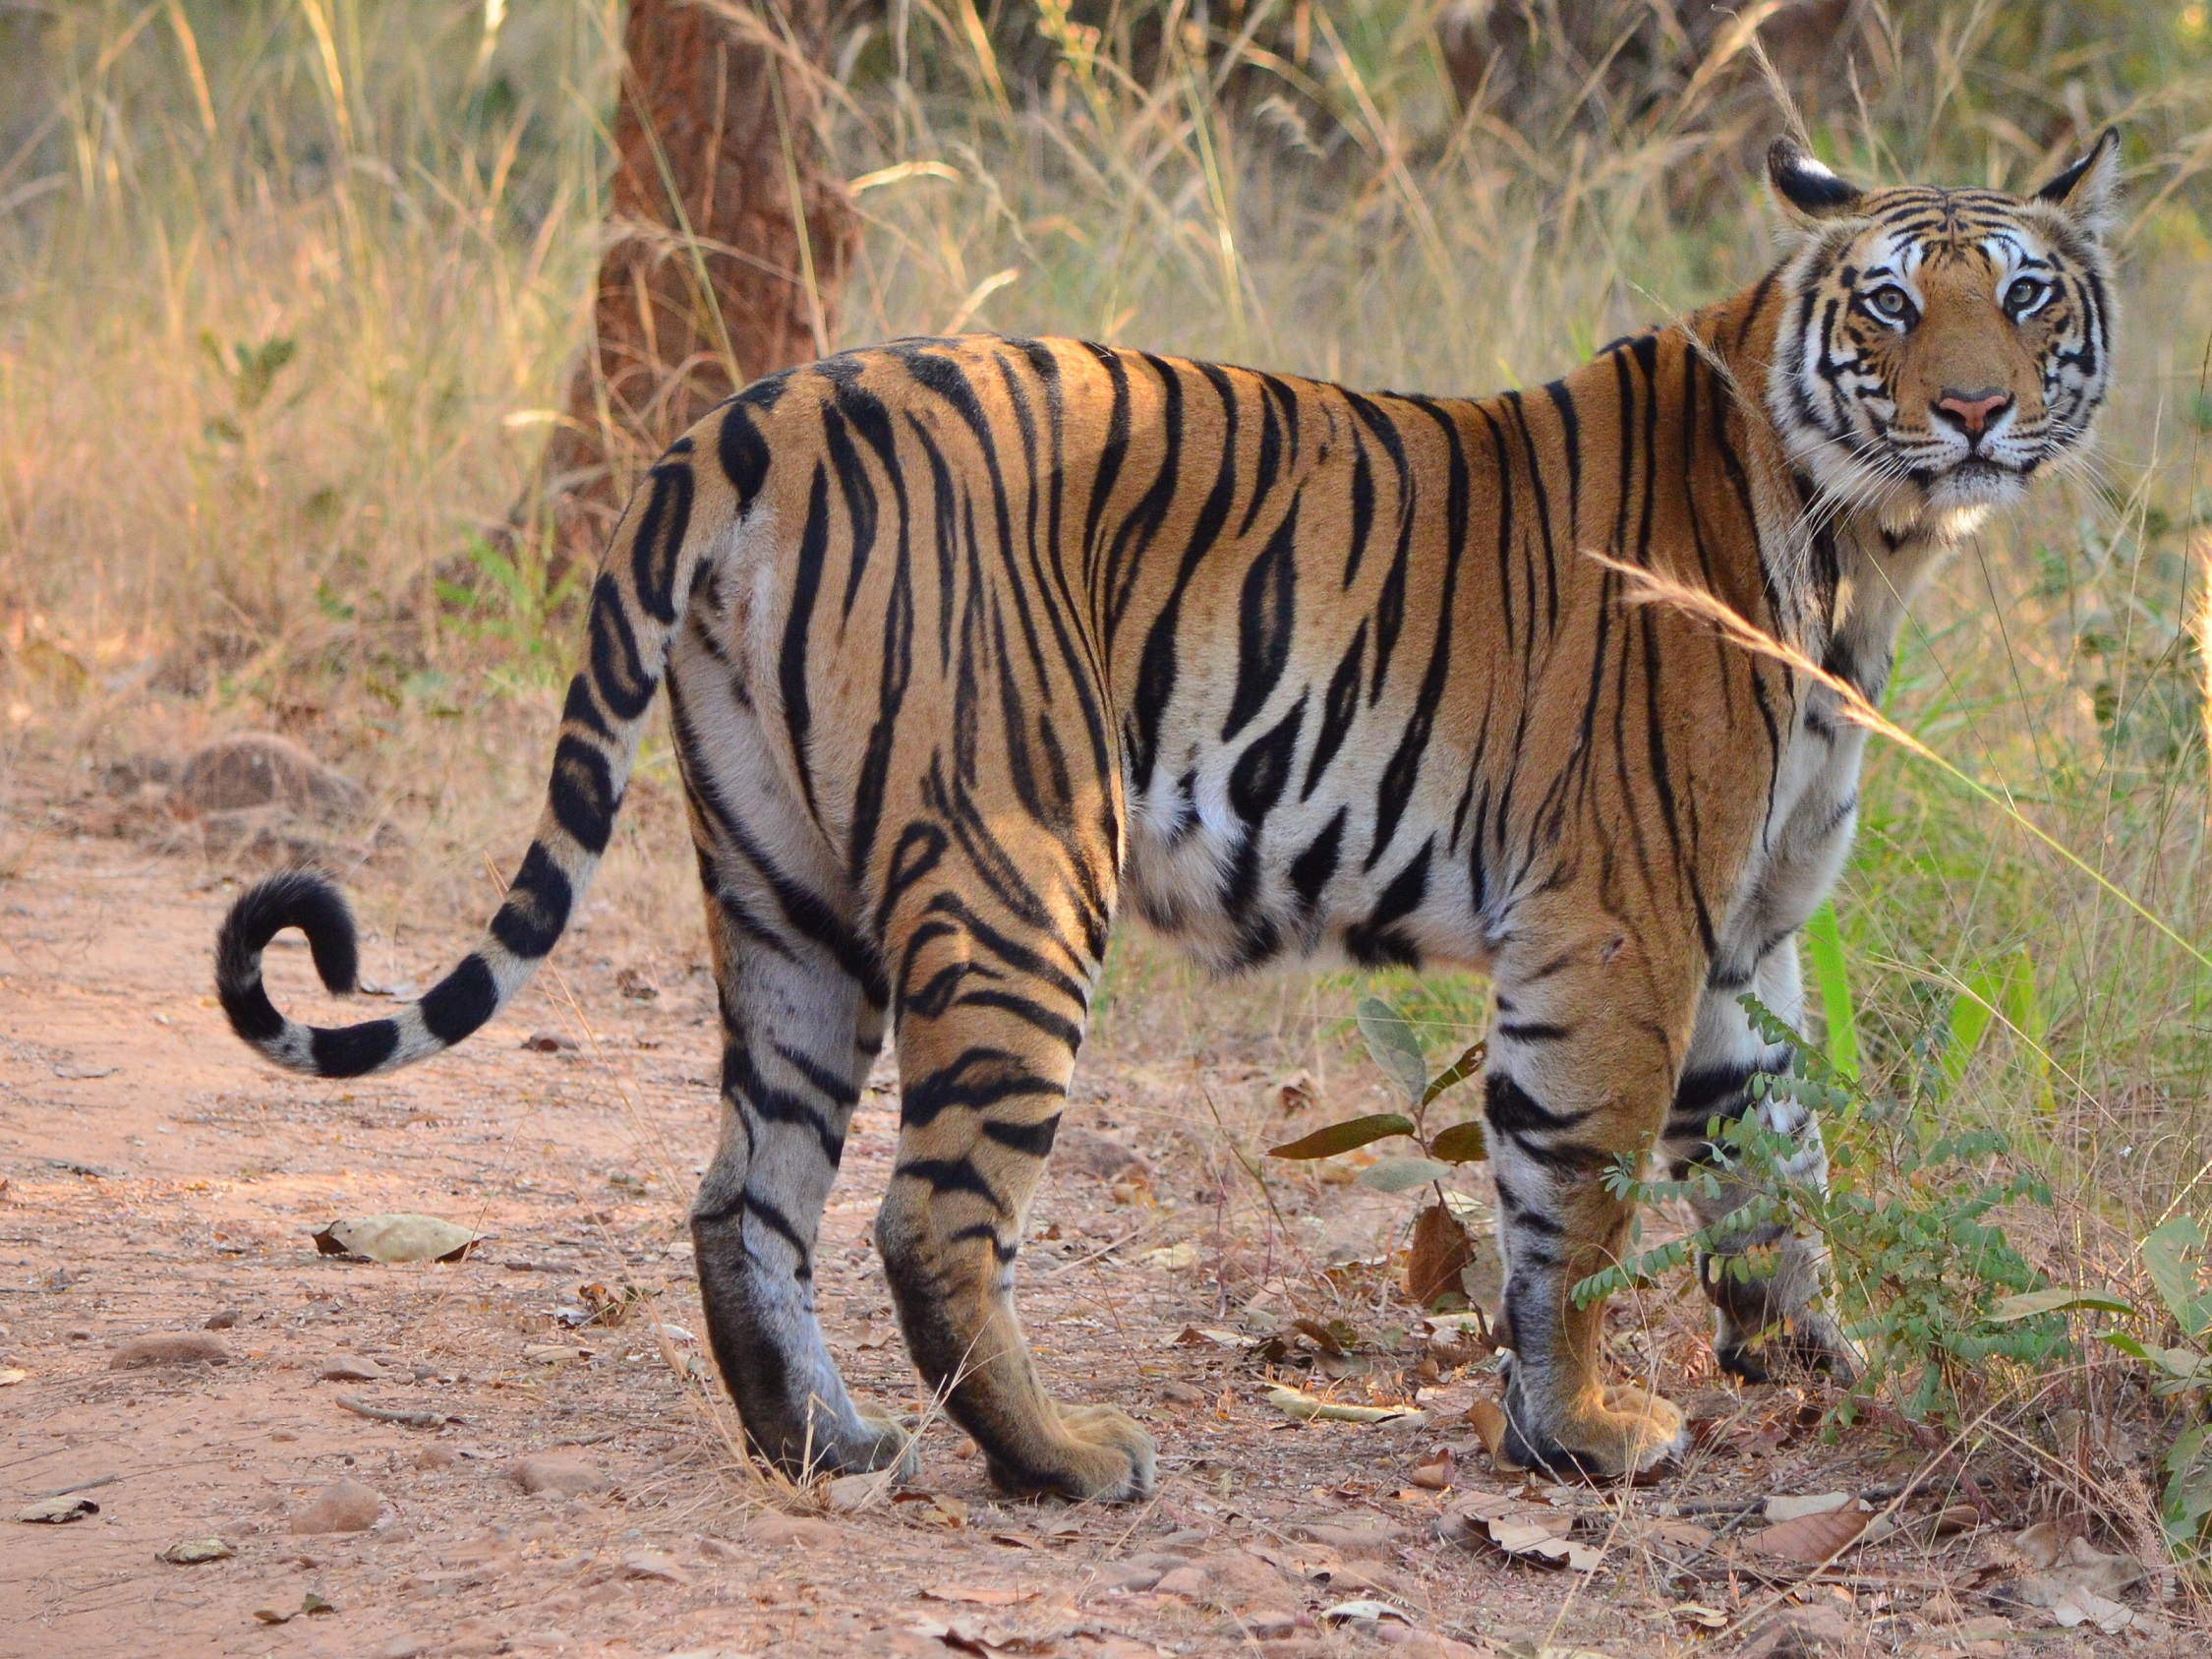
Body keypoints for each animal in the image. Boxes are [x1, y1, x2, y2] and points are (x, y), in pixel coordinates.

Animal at [215, 131, 2120, 1495]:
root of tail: (763, 412)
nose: (1970, 407)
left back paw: (825, 1446)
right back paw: (1060, 1461)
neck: (1864, 543)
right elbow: (1577, 1191)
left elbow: (1777, 1170)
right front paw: (1580, 1433)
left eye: (2027, 296)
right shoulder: (1621, 923)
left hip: (783, 891)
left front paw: (1825, 1371)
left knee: (742, 1191)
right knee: (925, 1213)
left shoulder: (1745, 934)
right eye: (1891, 306)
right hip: (1018, 871)